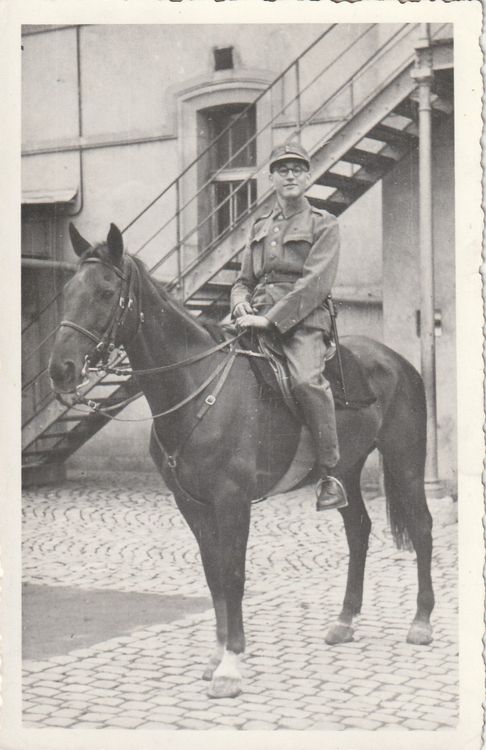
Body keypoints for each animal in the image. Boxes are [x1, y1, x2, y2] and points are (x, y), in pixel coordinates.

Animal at [48, 223, 434, 699]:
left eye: (105, 292)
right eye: (68, 290)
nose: (60, 369)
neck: (194, 385)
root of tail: (398, 361)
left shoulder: (232, 500)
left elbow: (234, 573)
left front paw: (231, 665)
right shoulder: (191, 504)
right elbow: (214, 572)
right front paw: (217, 655)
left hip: (405, 462)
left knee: (421, 527)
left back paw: (421, 622)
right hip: (344, 469)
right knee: (359, 531)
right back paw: (344, 621)